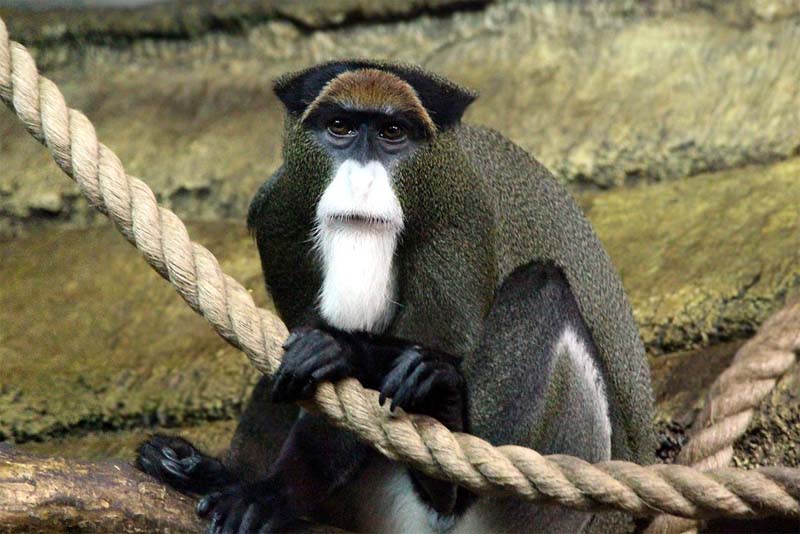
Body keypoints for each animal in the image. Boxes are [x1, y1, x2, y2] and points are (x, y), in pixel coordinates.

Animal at [136, 59, 655, 533]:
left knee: (543, 292)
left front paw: (273, 491)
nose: (362, 180)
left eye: (393, 132)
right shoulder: (280, 210)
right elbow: (302, 364)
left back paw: (444, 466)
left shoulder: (459, 224)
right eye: (340, 127)